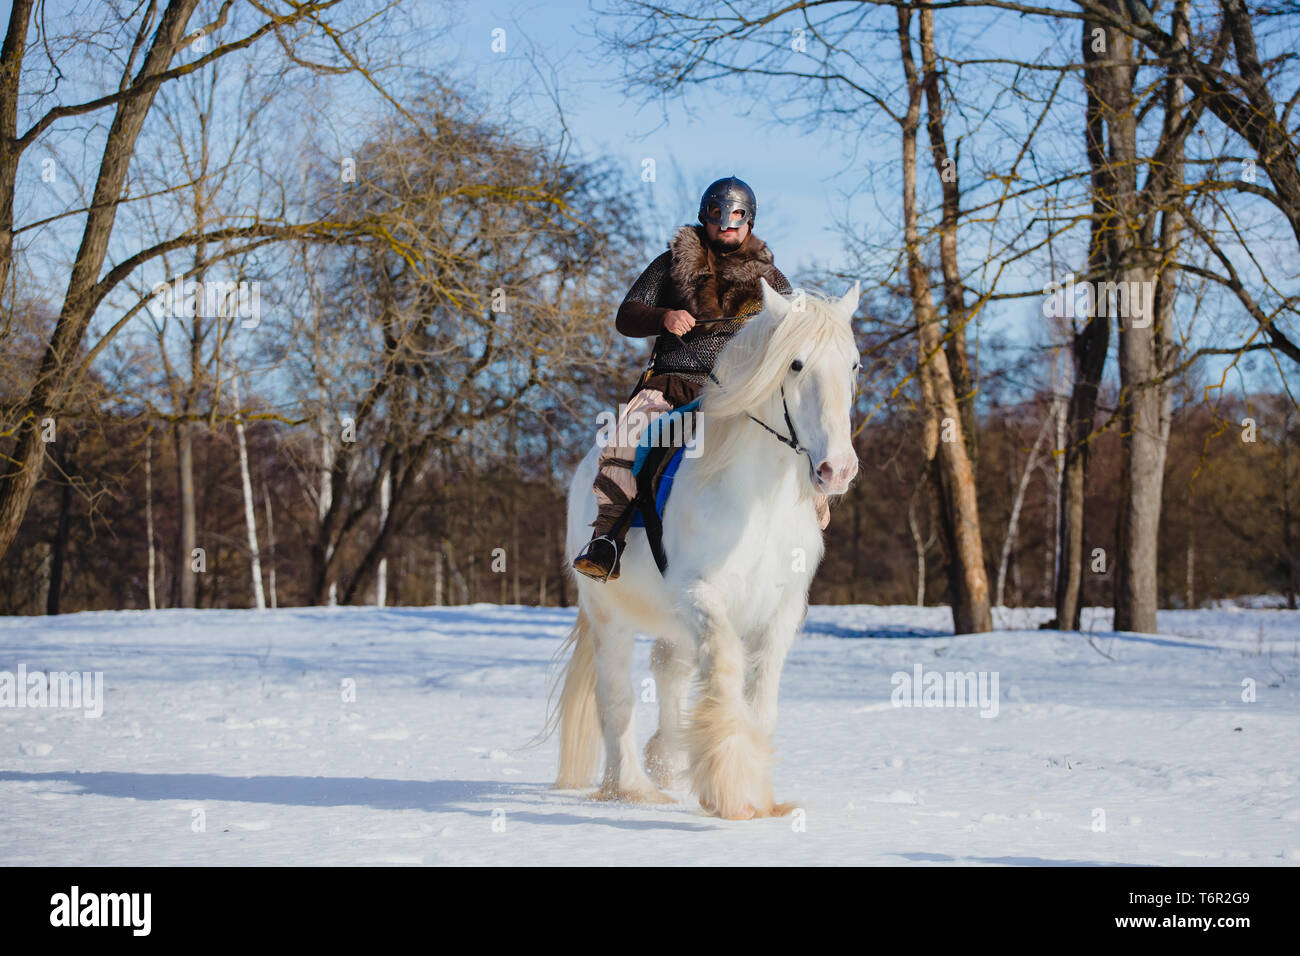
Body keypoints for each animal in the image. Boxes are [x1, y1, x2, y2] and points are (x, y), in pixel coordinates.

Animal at [546, 277, 860, 820]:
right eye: (796, 364)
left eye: (855, 365)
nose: (837, 469)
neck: (760, 502)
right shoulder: (702, 597)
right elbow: (725, 672)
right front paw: (730, 789)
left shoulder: (780, 612)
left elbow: (760, 701)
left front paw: (759, 796)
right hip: (610, 617)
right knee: (617, 699)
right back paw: (632, 787)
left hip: (671, 626)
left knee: (668, 671)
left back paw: (667, 758)